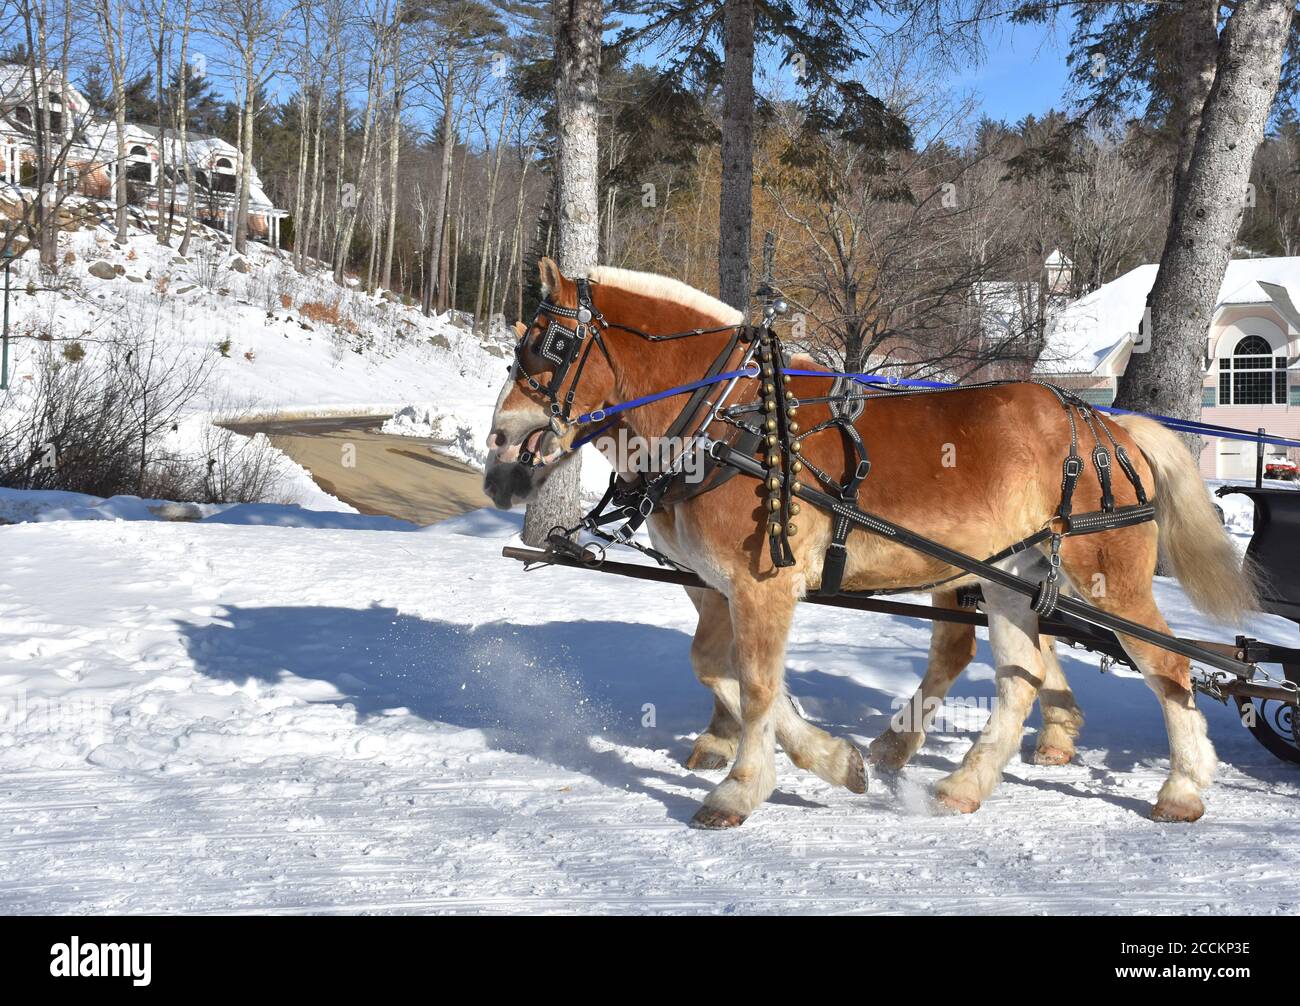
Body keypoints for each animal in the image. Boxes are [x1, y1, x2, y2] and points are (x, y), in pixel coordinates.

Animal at [486, 258, 1255, 829]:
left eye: (551, 346)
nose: (500, 436)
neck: (727, 418)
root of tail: (1107, 425)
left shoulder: (761, 585)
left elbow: (756, 682)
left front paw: (741, 787)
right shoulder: (720, 585)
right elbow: (721, 669)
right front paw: (833, 760)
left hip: (1103, 581)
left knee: (1167, 665)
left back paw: (1184, 787)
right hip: (1009, 575)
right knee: (1020, 678)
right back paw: (964, 784)